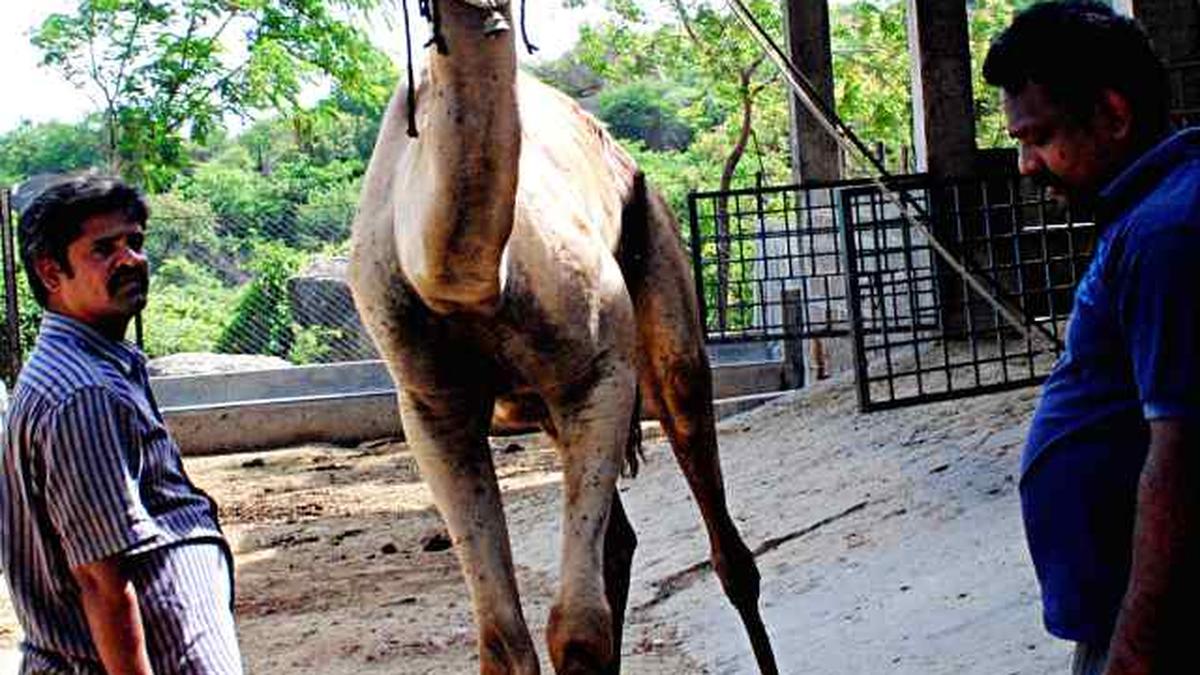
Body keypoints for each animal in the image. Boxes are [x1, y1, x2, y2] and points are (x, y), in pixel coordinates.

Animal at [347, 0, 779, 672]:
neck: (463, 279)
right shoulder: (430, 410)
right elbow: (501, 638)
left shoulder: (596, 376)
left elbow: (577, 629)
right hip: (547, 409)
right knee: (620, 544)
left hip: (662, 284)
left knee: (725, 546)